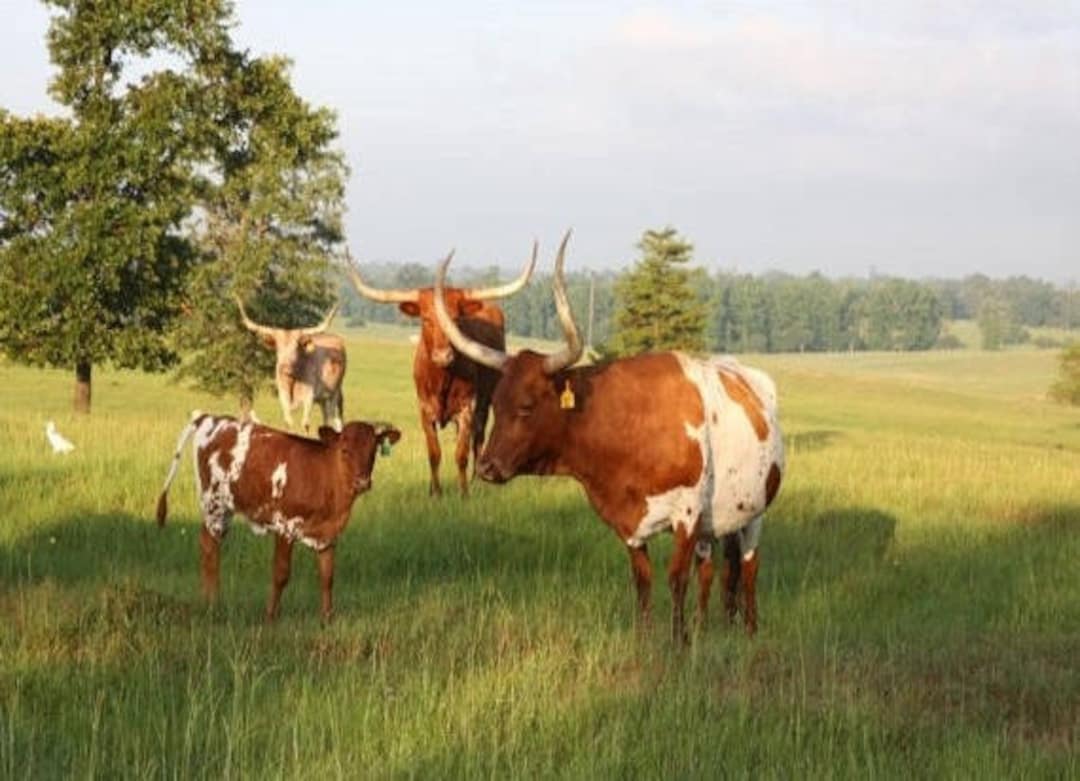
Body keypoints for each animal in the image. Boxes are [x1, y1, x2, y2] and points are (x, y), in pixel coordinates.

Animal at [155, 412, 401, 621]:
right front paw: (271, 616)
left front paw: (327, 618)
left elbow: (327, 576)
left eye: (373, 451)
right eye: (345, 450)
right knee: (209, 547)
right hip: (213, 503)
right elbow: (281, 573)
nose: (362, 482)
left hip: (224, 508)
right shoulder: (285, 525)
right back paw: (213, 604)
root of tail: (211, 417)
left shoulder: (328, 535)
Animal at [235, 297, 347, 433]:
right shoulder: (283, 396)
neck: (293, 380)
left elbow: (305, 424)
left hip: (334, 393)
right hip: (323, 399)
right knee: (326, 419)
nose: (285, 367)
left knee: (335, 418)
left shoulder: (309, 397)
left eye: (296, 347)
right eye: (278, 347)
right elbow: (288, 422)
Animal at [345, 245, 536, 496]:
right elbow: (434, 453)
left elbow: (461, 454)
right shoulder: (425, 410)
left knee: (478, 438)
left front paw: (464, 494)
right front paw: (434, 492)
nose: (443, 356)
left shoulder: (467, 408)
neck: (442, 379)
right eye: (425, 319)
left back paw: (476, 480)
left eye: (454, 319)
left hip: (485, 400)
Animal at [432, 231, 785, 641]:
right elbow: (644, 581)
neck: (626, 427)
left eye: (527, 406)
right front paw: (650, 638)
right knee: (714, 570)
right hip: (718, 521)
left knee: (748, 566)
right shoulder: (632, 526)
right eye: (497, 404)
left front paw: (678, 642)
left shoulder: (687, 513)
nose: (487, 468)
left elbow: (675, 579)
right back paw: (707, 625)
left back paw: (749, 628)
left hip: (755, 510)